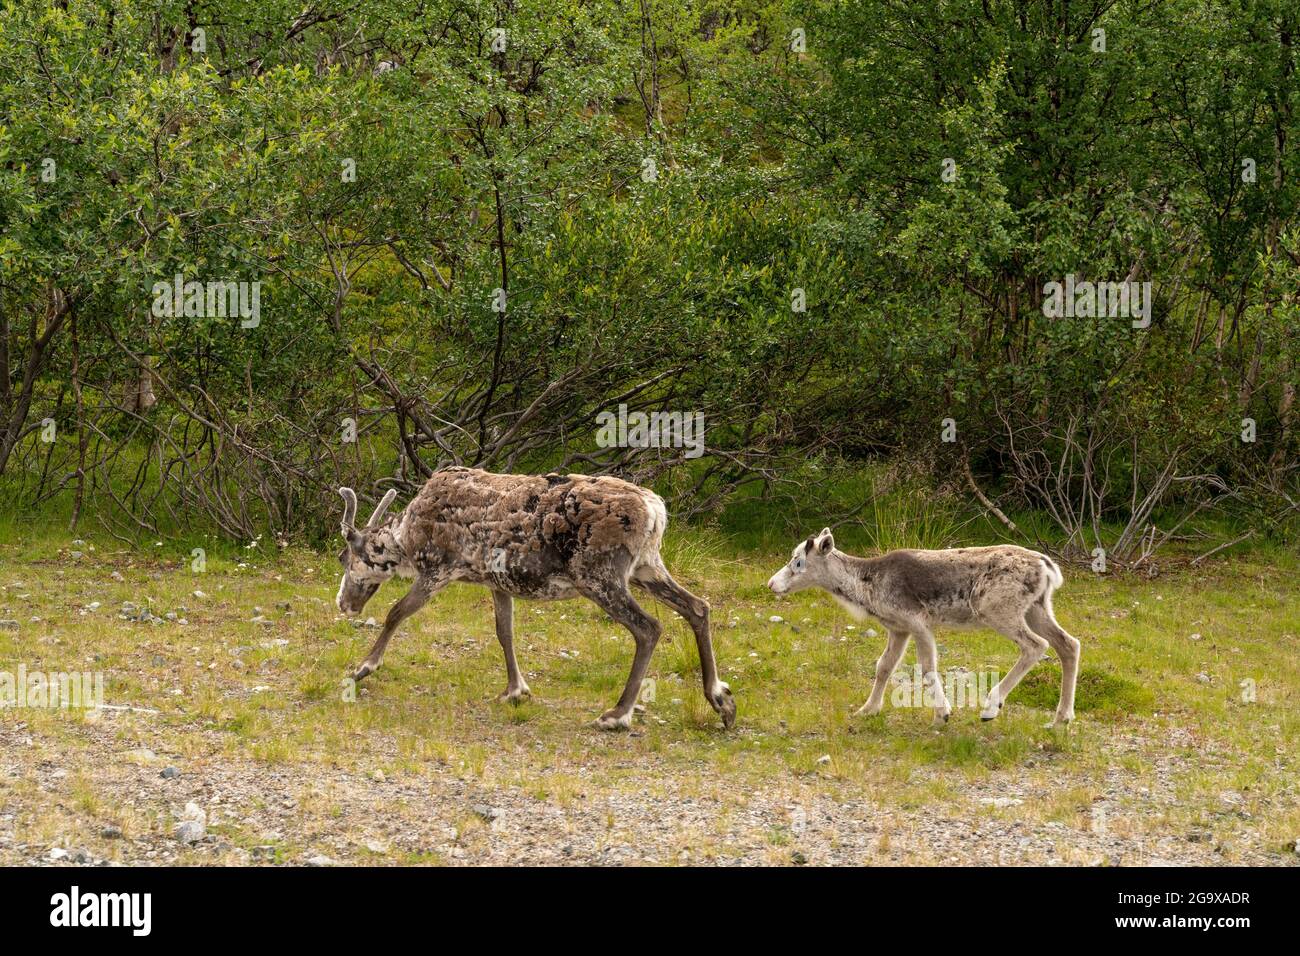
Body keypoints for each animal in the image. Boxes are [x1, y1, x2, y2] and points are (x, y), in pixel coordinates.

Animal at [334, 466, 735, 731]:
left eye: (342, 557)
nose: (343, 603)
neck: (405, 535)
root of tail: (656, 512)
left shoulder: (438, 568)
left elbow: (396, 612)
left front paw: (363, 667)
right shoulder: (497, 582)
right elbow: (504, 632)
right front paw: (515, 690)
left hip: (600, 575)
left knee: (649, 627)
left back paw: (617, 714)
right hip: (646, 567)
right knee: (698, 607)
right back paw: (722, 700)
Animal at [767, 529, 1080, 727]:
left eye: (798, 562)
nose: (771, 583)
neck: (867, 589)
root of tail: (1047, 566)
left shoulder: (917, 621)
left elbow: (928, 667)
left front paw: (942, 715)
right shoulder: (897, 628)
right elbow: (884, 666)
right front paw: (867, 710)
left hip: (998, 608)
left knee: (1036, 645)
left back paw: (991, 707)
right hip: (1037, 607)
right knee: (1068, 643)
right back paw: (1061, 718)